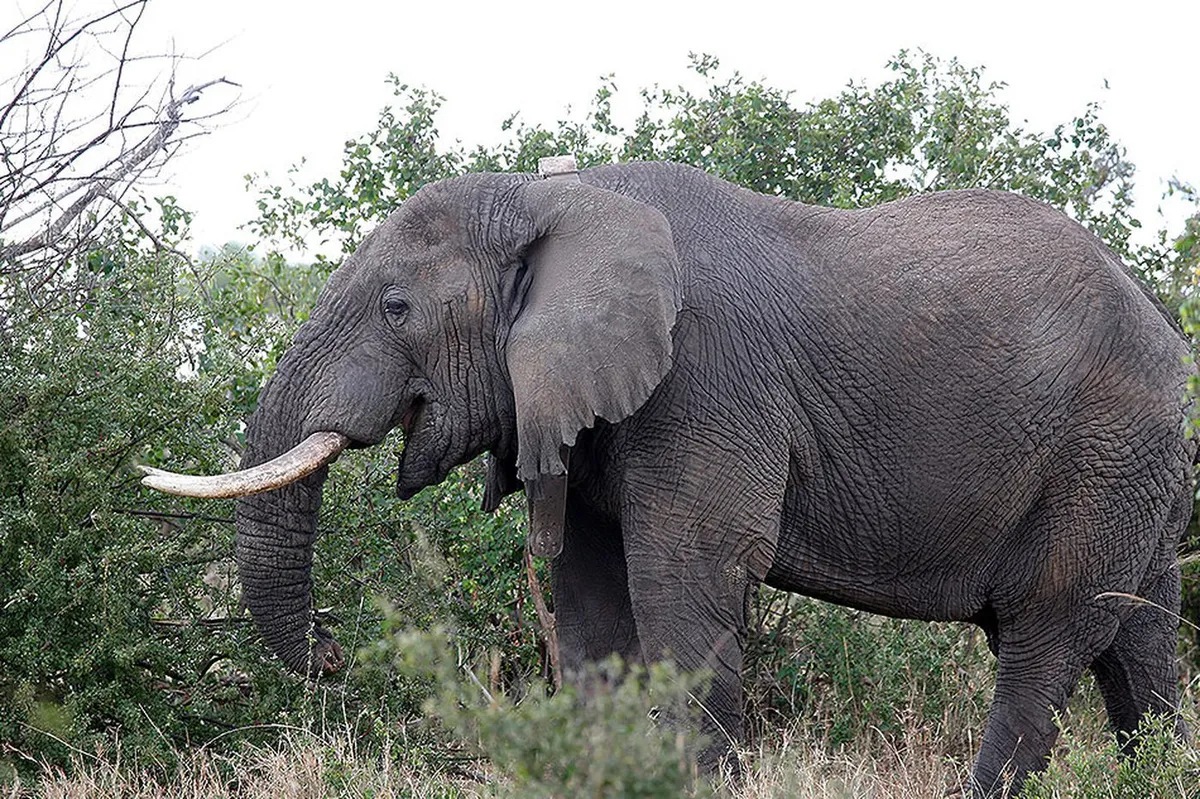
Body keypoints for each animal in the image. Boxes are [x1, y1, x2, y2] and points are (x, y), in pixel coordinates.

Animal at [142, 159, 1195, 796]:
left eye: (396, 306)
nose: (332, 656)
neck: (553, 200)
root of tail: (1164, 322)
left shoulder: (705, 381)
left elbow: (682, 580)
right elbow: (593, 605)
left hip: (1104, 451)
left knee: (1046, 634)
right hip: (1136, 470)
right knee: (1140, 636)